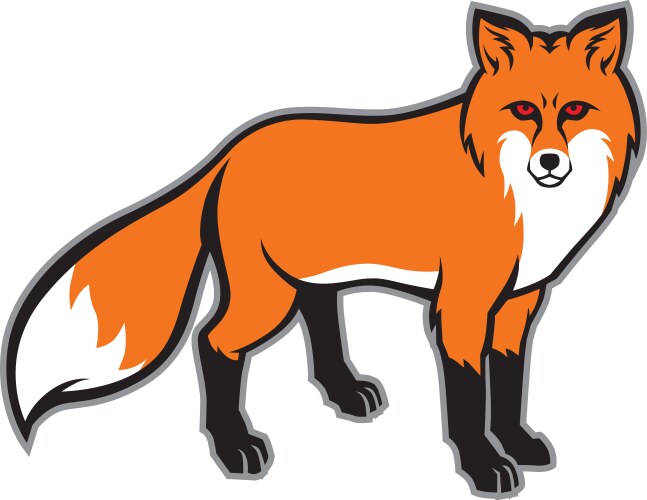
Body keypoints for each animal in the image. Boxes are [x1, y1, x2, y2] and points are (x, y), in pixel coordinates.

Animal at [1, 3, 642, 497]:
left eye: (576, 110)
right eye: (524, 111)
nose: (549, 162)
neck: (518, 195)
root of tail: (229, 152)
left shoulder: (519, 302)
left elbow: (509, 383)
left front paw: (518, 444)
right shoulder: (461, 305)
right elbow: (467, 398)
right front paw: (484, 467)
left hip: (308, 279)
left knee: (319, 321)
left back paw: (345, 392)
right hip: (266, 296)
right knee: (213, 342)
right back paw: (234, 447)